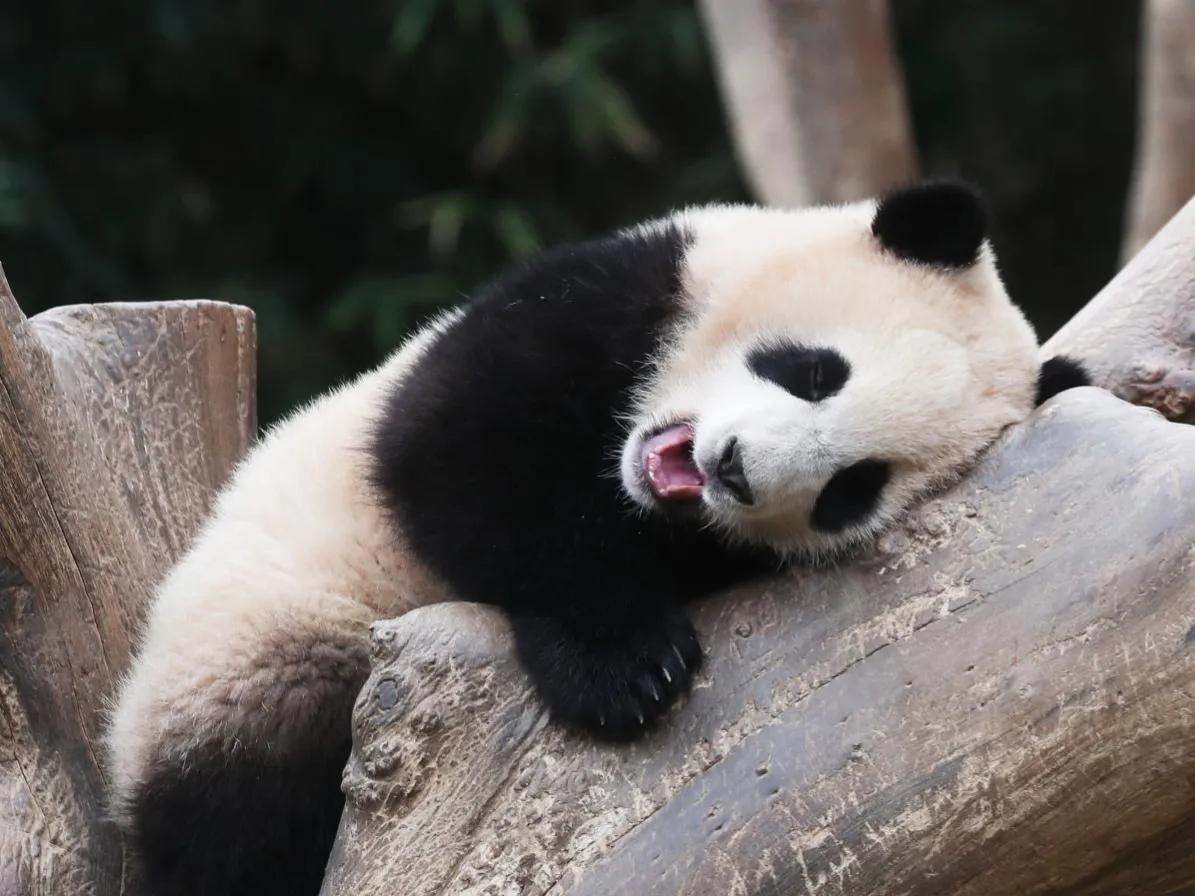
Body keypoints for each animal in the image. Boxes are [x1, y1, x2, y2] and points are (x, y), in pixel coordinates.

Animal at [105, 182, 1088, 896]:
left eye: (854, 488)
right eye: (813, 372)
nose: (733, 470)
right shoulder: (604, 292)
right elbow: (454, 460)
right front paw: (624, 666)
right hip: (253, 647)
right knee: (240, 820)